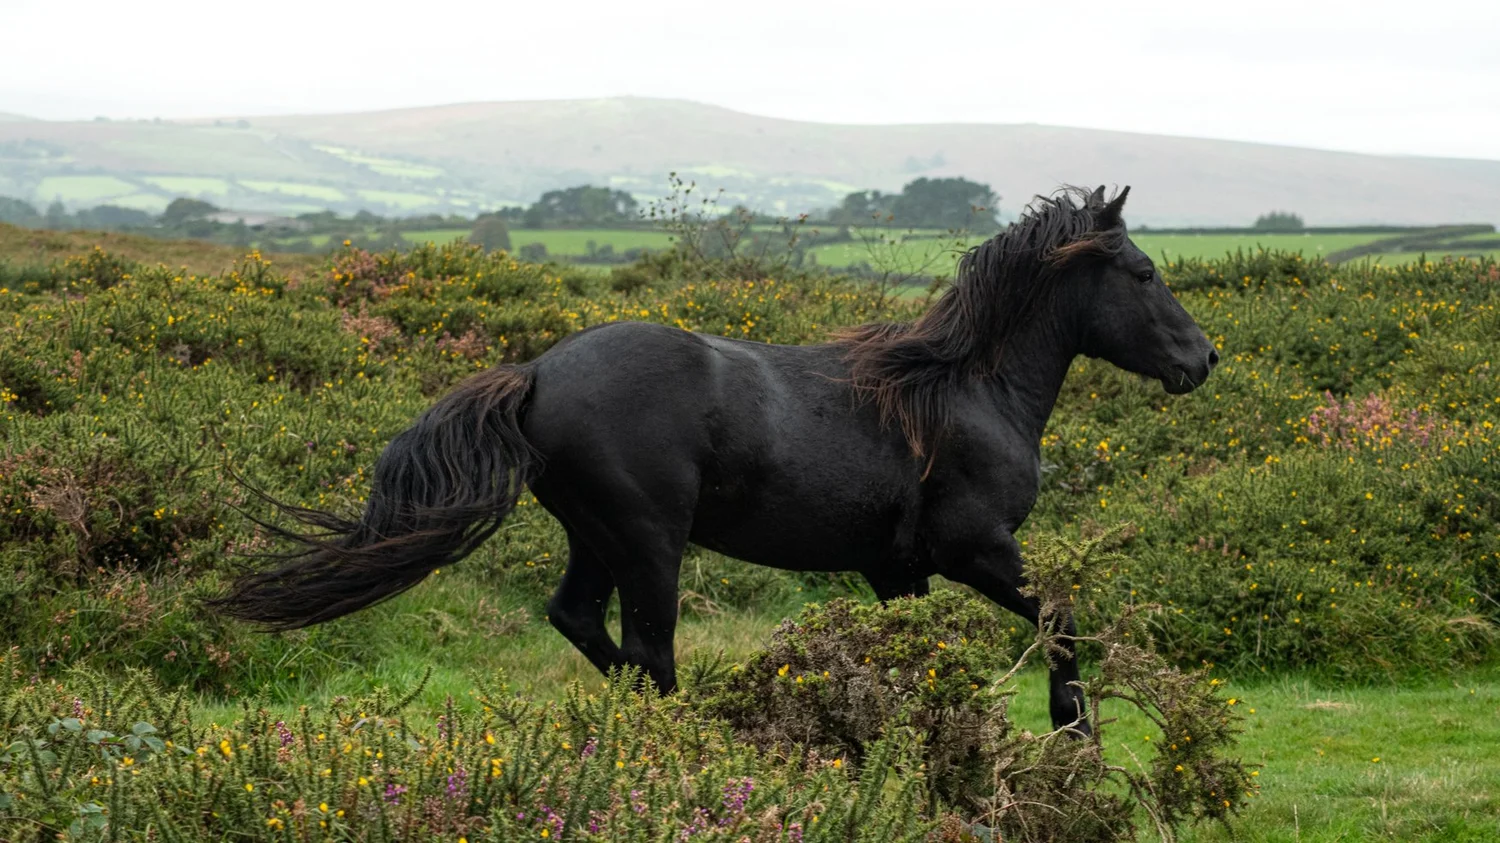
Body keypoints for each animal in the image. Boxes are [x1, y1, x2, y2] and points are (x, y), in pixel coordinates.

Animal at [213, 185, 1217, 732]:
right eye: (1145, 274)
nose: (1202, 359)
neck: (967, 388)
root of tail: (537, 372)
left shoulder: (898, 571)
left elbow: (915, 655)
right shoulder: (979, 548)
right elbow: (1063, 616)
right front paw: (1072, 733)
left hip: (596, 535)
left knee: (583, 622)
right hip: (650, 539)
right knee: (650, 646)